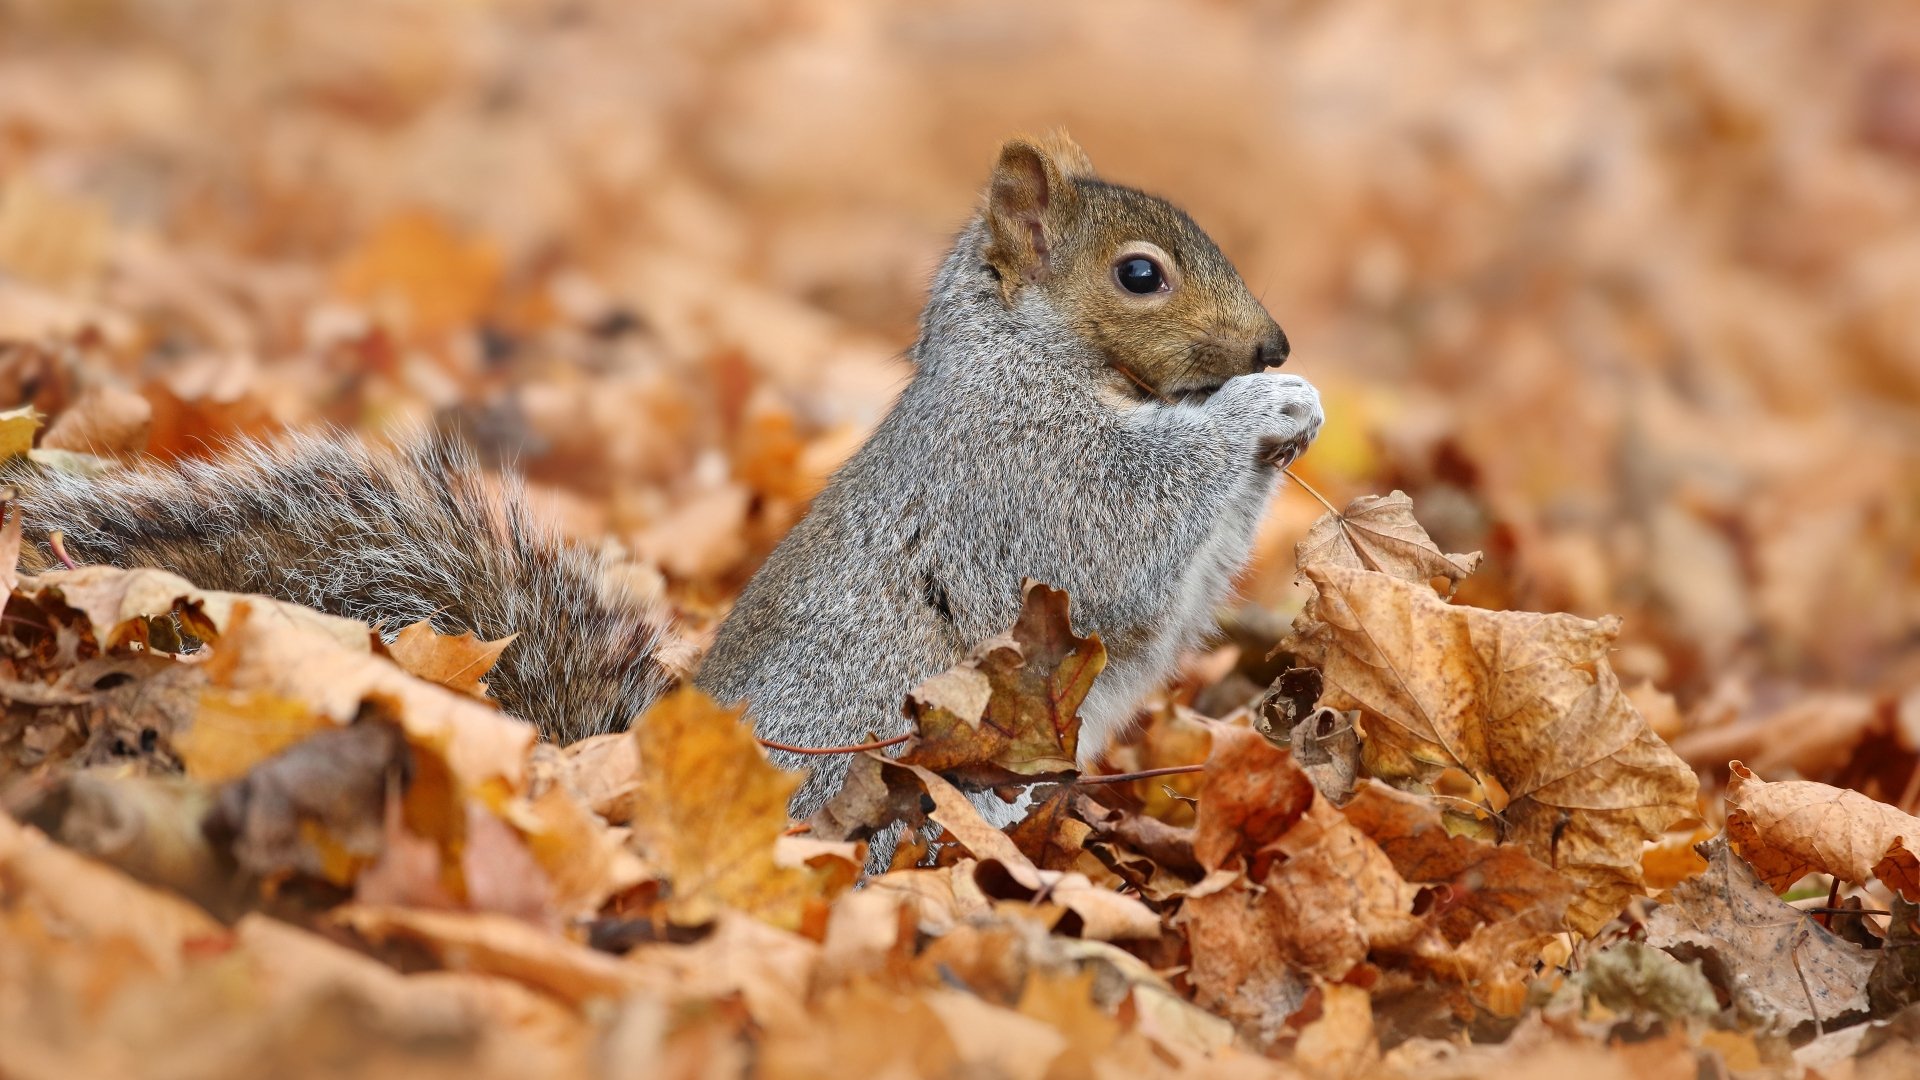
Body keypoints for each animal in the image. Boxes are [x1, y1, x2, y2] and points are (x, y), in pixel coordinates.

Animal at [9, 131, 1322, 825]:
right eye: (1140, 275)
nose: (1274, 345)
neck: (1029, 362)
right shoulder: (1022, 471)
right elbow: (1123, 535)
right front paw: (1257, 413)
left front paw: (1289, 419)